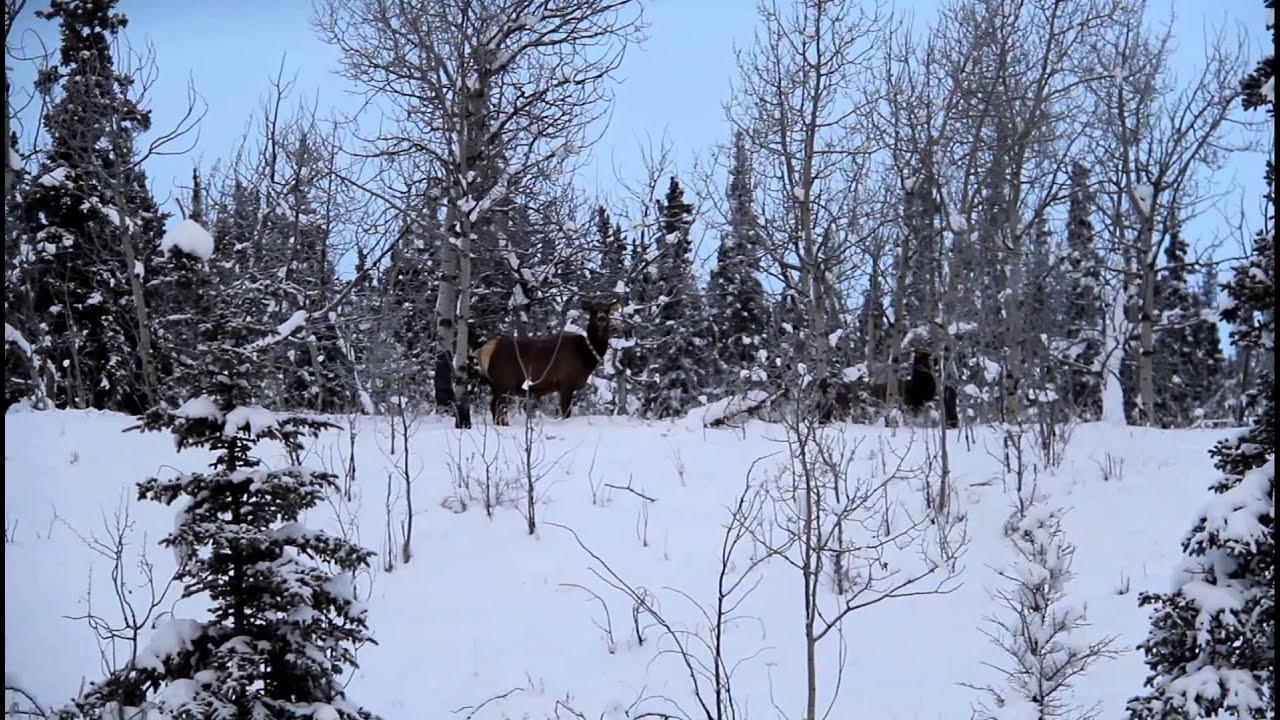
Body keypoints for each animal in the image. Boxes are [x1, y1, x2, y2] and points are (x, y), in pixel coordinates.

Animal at [471, 299, 620, 426]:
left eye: (607, 310)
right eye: (593, 310)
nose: (602, 318)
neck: (586, 356)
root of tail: (482, 350)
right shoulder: (566, 382)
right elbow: (566, 413)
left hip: (494, 384)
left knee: (494, 406)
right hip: (503, 381)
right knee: (499, 407)